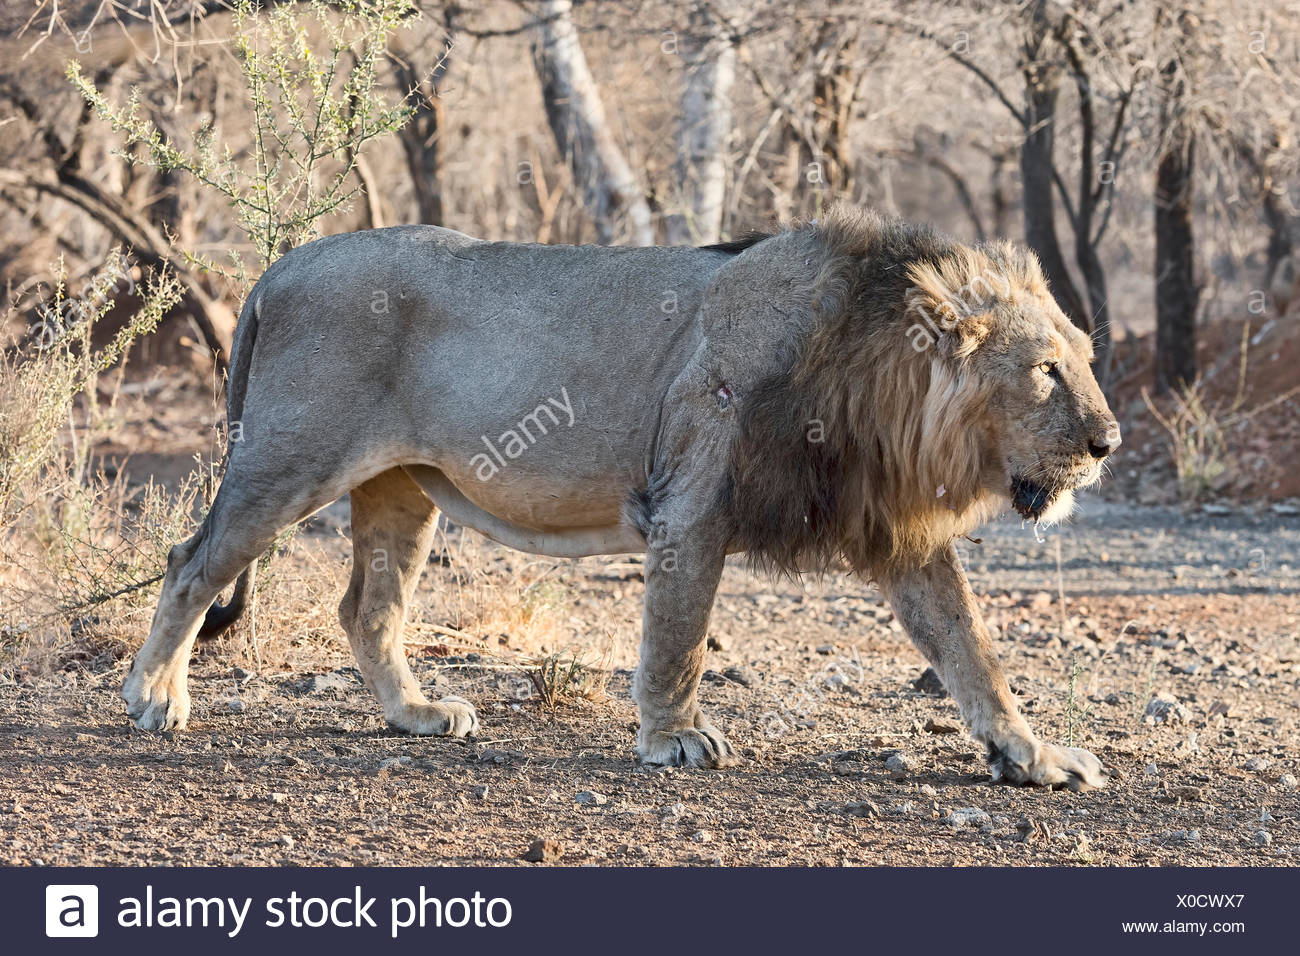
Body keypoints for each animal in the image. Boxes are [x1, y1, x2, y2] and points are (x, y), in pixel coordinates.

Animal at [124, 205, 1120, 791]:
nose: (1109, 443)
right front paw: (674, 740)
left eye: (1087, 361)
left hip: (399, 488)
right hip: (289, 462)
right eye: (1045, 372)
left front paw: (1032, 756)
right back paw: (154, 698)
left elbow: (971, 650)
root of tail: (284, 265)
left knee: (368, 611)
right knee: (191, 562)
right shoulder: (691, 500)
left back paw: (416, 715)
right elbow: (678, 639)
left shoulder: (900, 534)